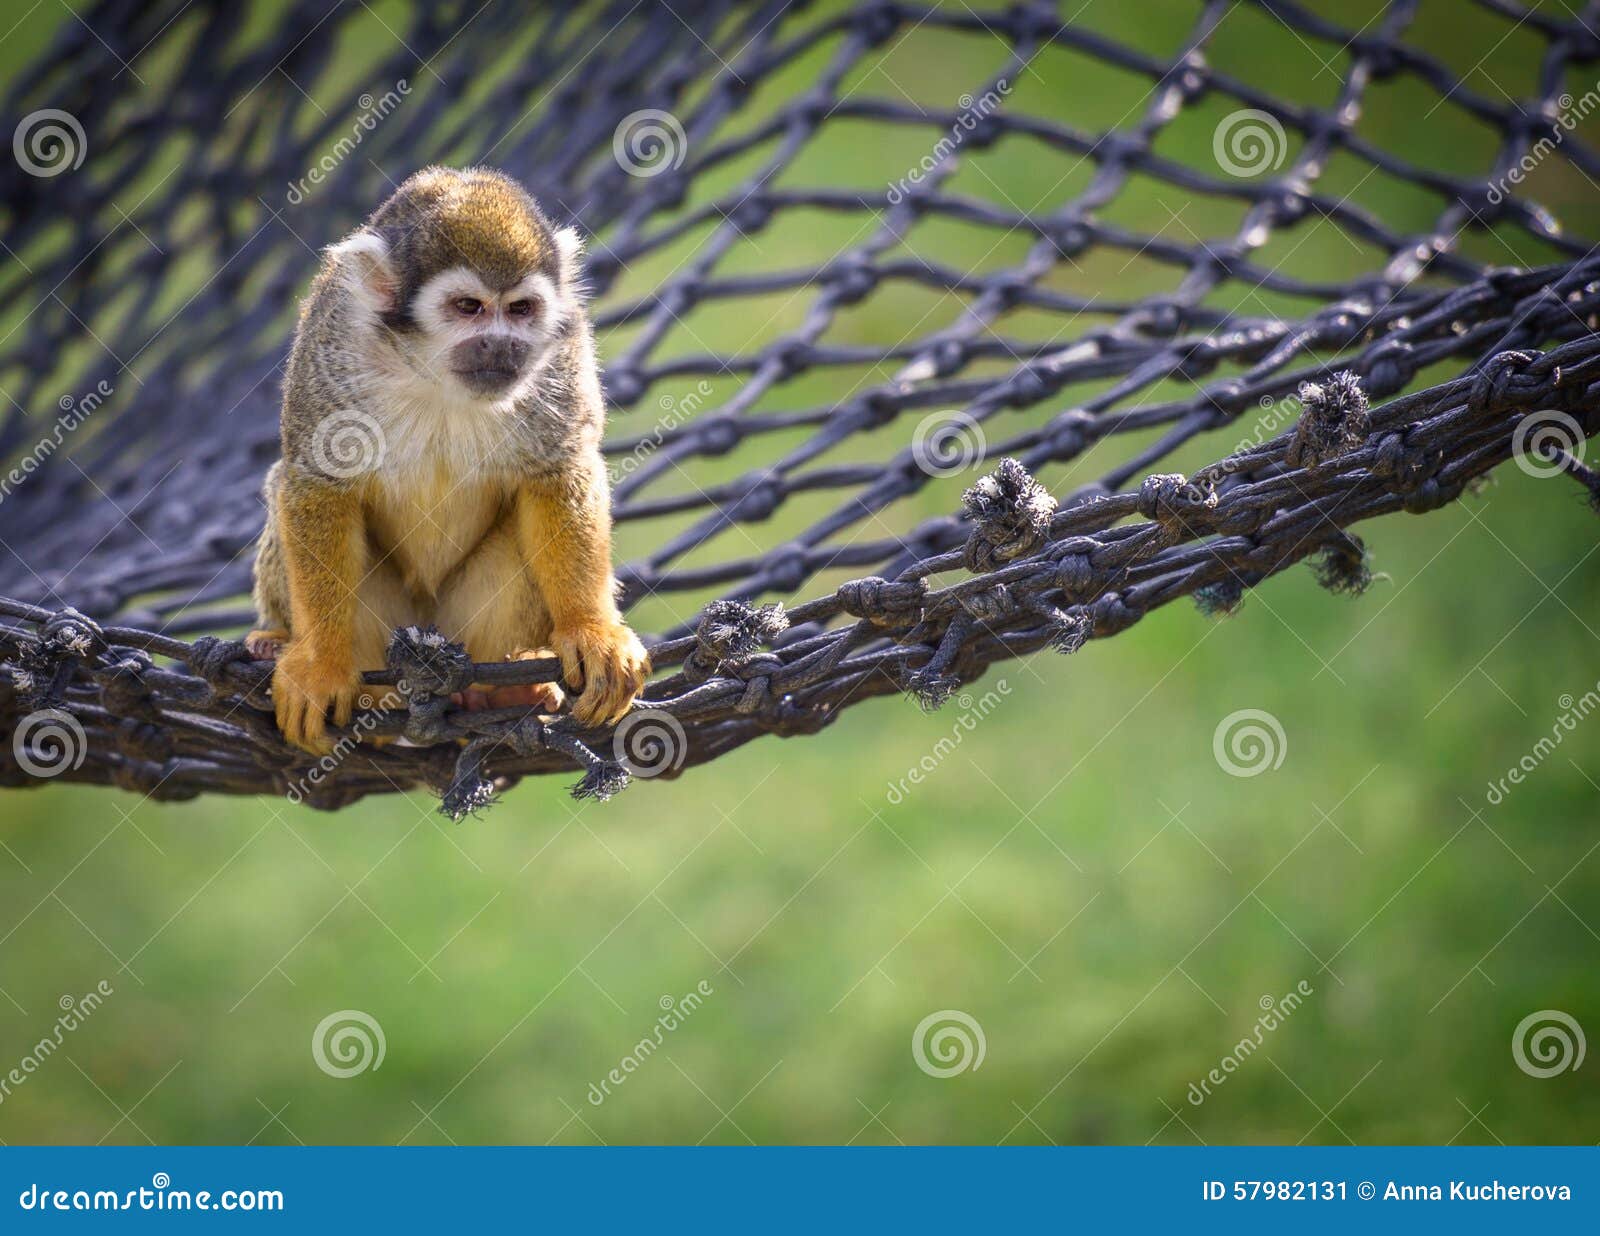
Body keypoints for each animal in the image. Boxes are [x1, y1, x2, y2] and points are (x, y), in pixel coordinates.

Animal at [248, 166, 649, 756]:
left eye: (521, 310)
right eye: (468, 308)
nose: (502, 346)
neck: (430, 371)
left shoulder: (563, 344)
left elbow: (557, 469)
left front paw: (591, 629)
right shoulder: (334, 334)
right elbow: (317, 478)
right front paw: (320, 665)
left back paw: (507, 688)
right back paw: (292, 649)